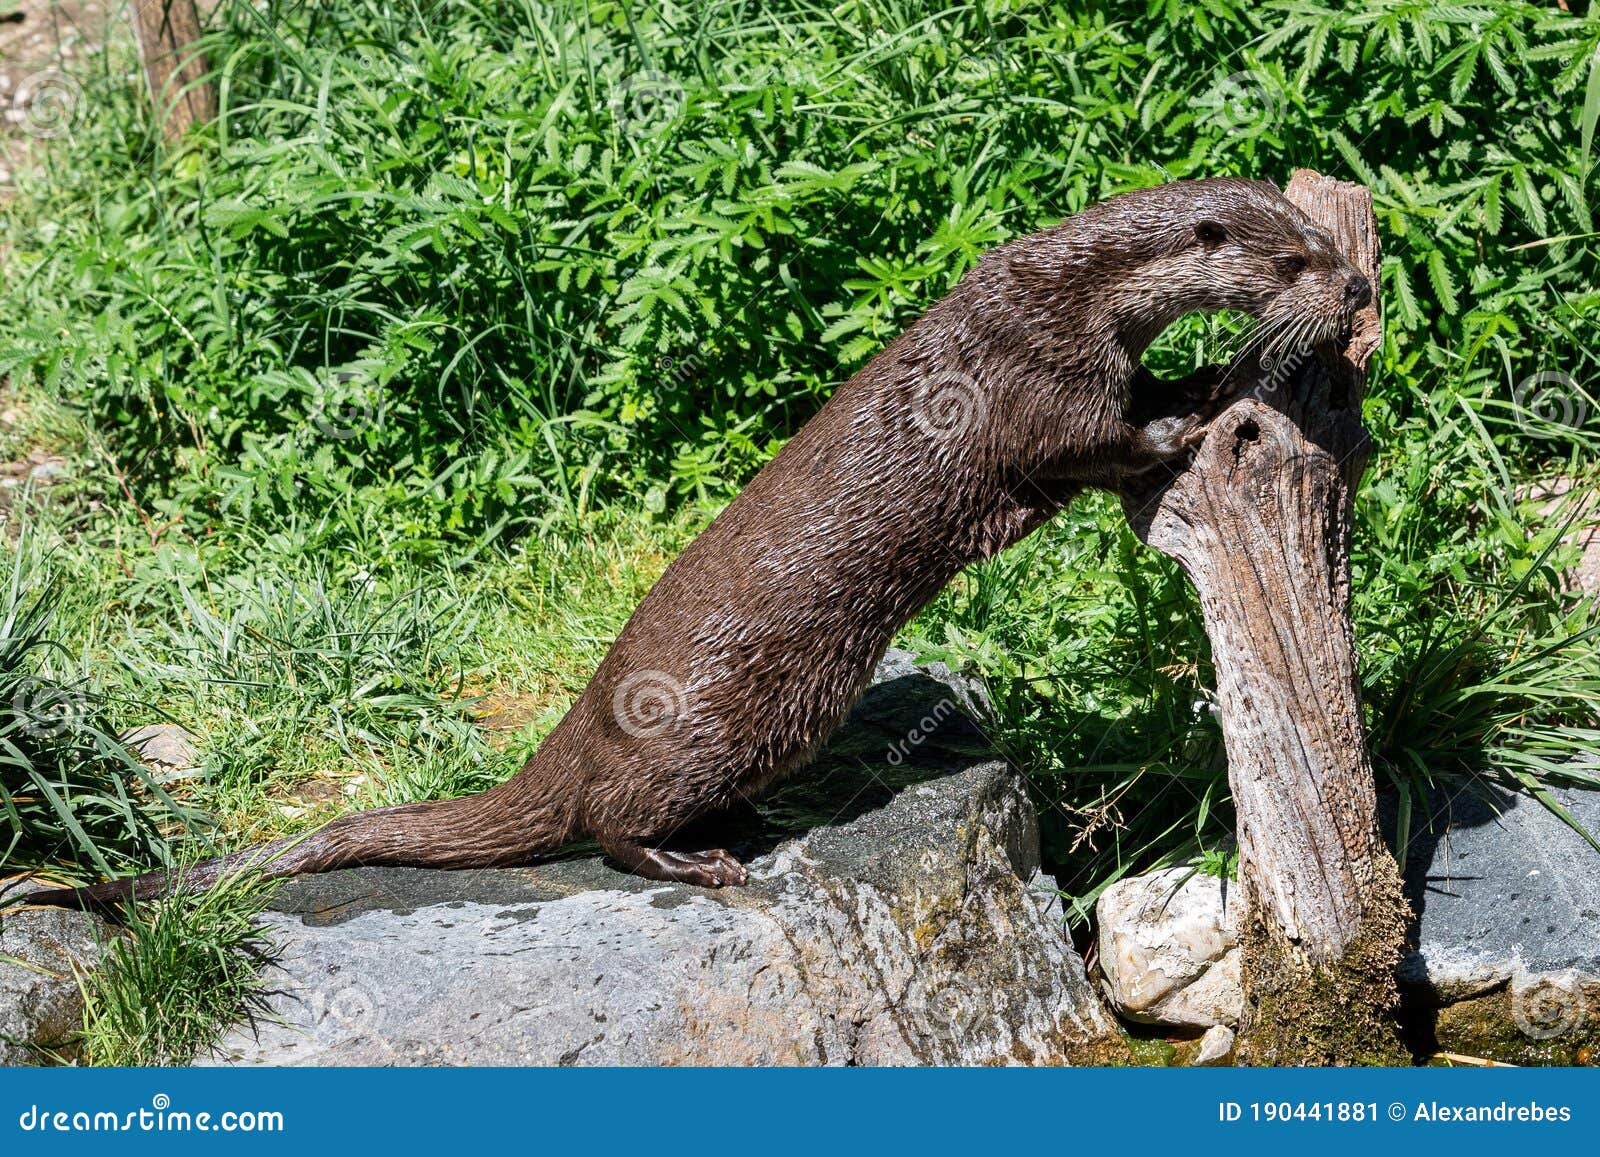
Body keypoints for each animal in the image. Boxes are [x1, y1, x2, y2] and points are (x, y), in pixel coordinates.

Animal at [32, 178, 1369, 906]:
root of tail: (572, 730)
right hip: (723, 716)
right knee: (609, 826)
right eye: (1294, 256)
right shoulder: (1035, 386)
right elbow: (1100, 442)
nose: (1356, 289)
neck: (1071, 299)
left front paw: (1202, 374)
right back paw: (703, 861)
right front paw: (1196, 412)